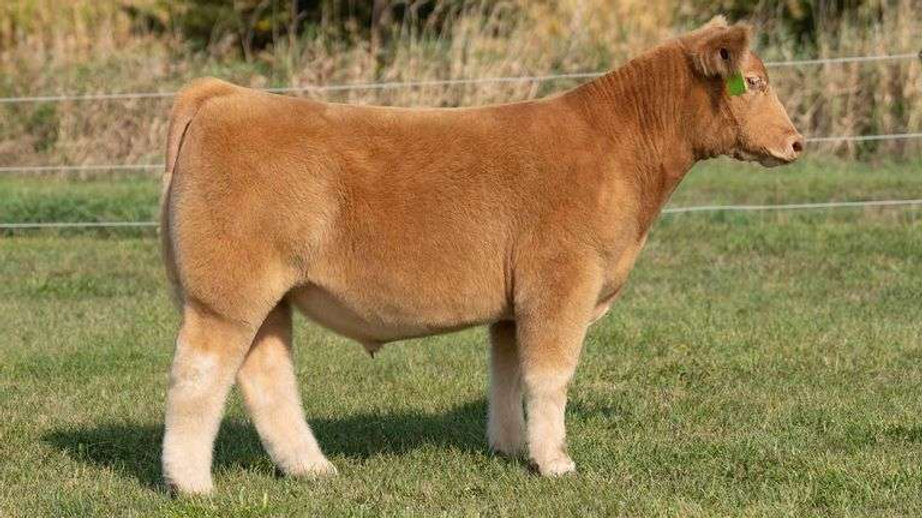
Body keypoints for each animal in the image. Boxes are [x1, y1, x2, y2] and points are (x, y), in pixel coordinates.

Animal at [159, 16, 802, 494]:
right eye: (756, 82)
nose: (797, 142)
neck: (619, 148)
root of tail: (225, 95)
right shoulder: (562, 281)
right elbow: (550, 375)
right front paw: (556, 463)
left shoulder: (515, 302)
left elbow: (509, 372)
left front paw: (513, 448)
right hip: (226, 293)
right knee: (198, 375)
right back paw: (192, 484)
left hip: (269, 295)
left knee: (266, 374)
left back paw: (312, 468)